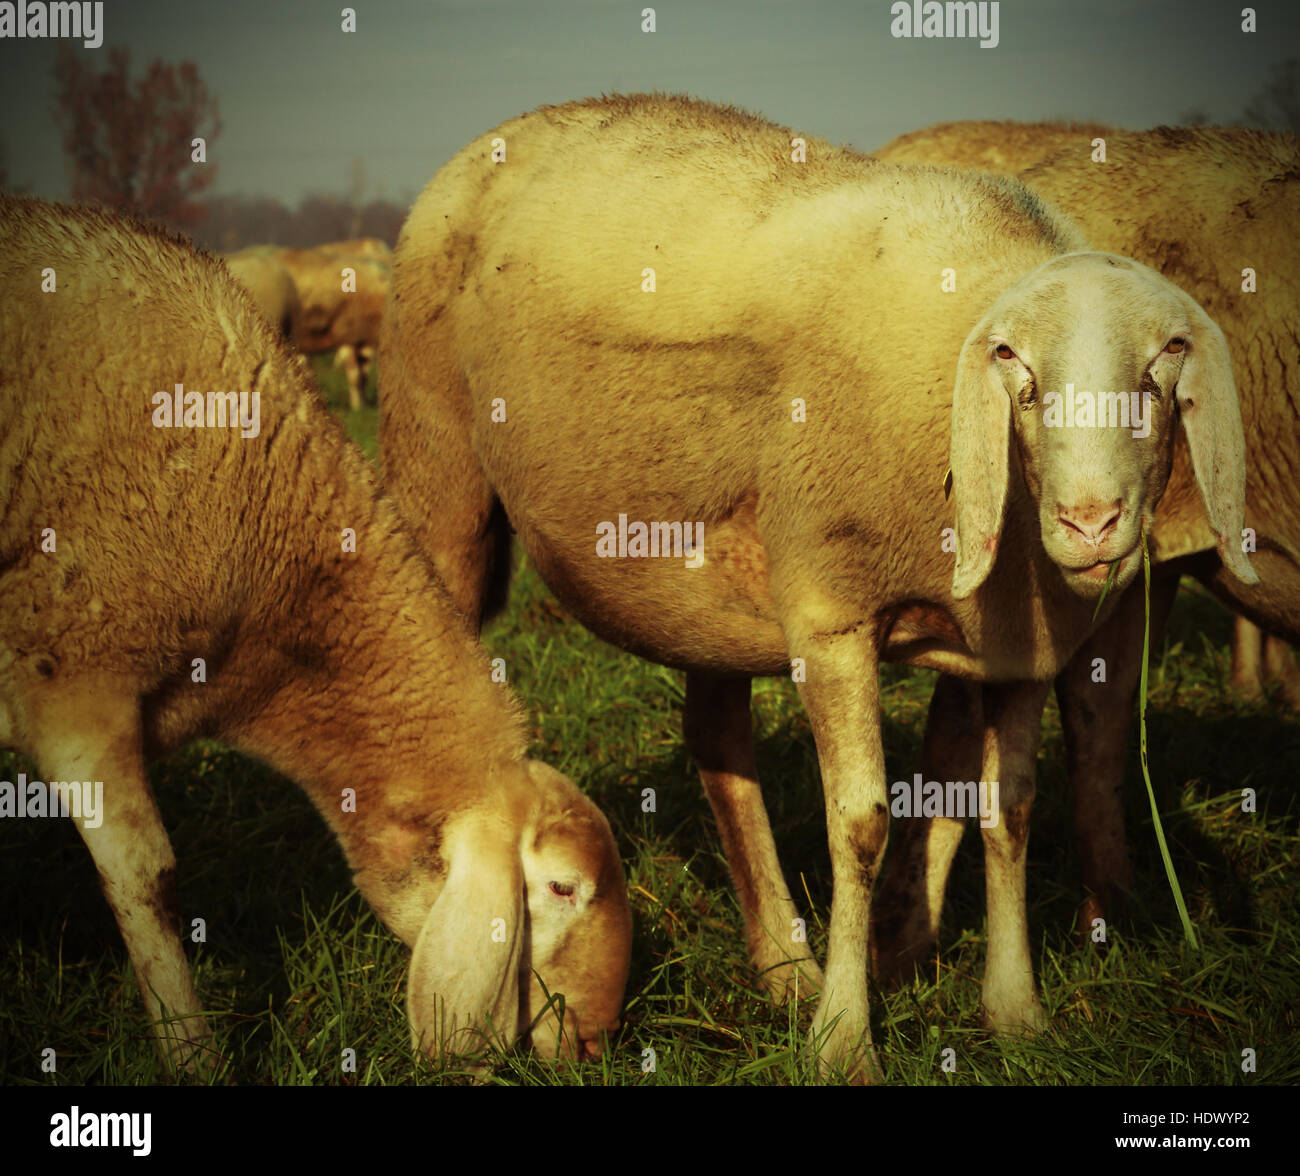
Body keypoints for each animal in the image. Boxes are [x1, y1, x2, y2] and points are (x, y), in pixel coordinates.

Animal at [377, 94, 1255, 1078]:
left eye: (1163, 365)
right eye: (1018, 372)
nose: (1091, 522)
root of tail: (502, 133)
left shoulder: (1020, 648)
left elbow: (1011, 814)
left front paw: (1015, 1011)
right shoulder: (831, 616)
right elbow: (861, 825)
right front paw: (844, 1041)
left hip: (705, 581)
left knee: (719, 742)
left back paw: (782, 964)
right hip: (437, 474)